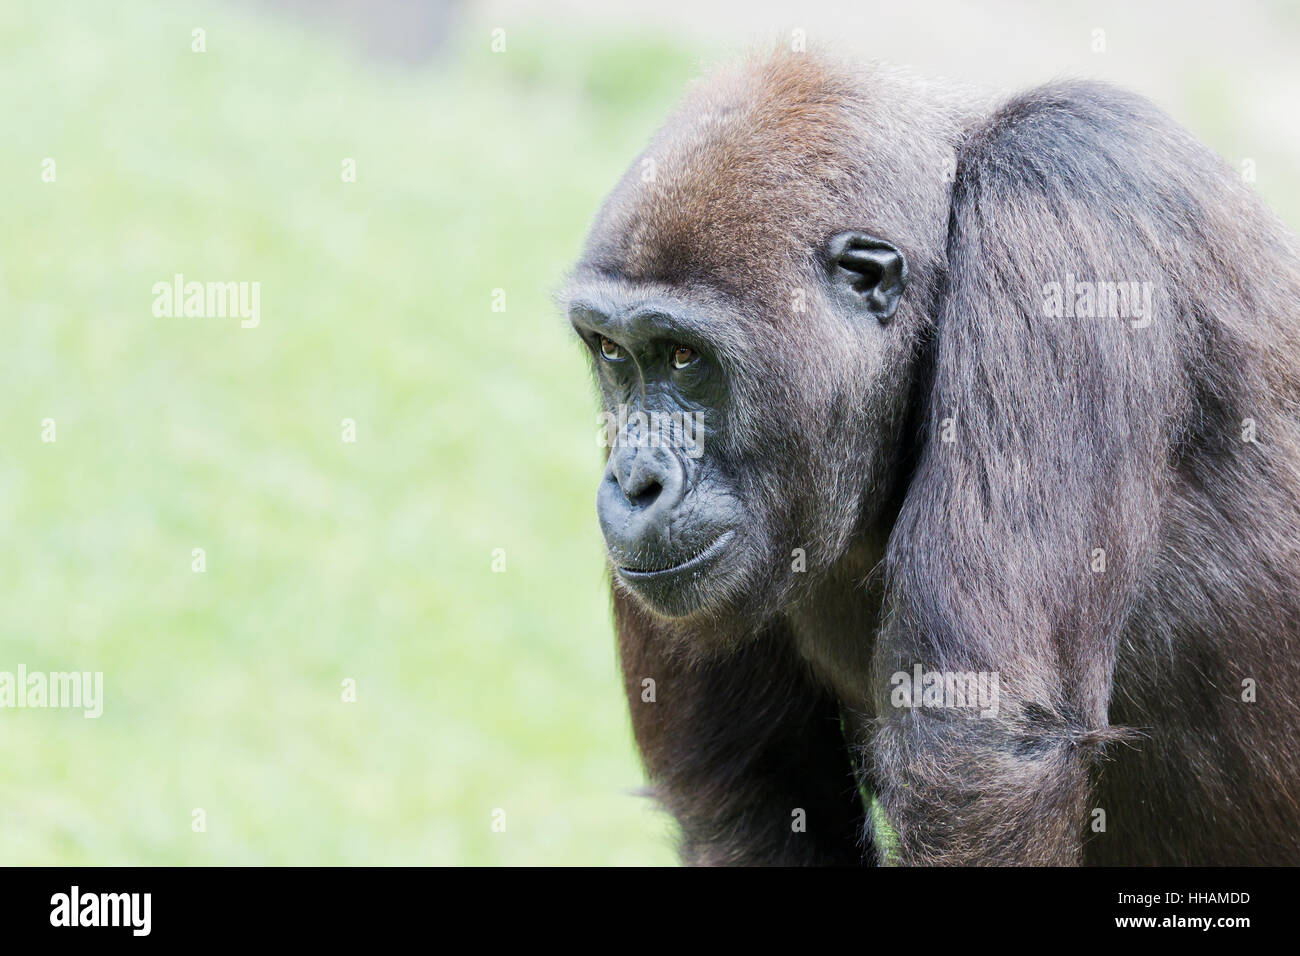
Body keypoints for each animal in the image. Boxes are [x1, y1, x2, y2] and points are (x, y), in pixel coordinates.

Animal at [561, 50, 1300, 865]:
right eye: (613, 353)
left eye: (684, 357)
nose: (634, 480)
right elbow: (747, 788)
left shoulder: (1064, 211)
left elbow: (978, 757)